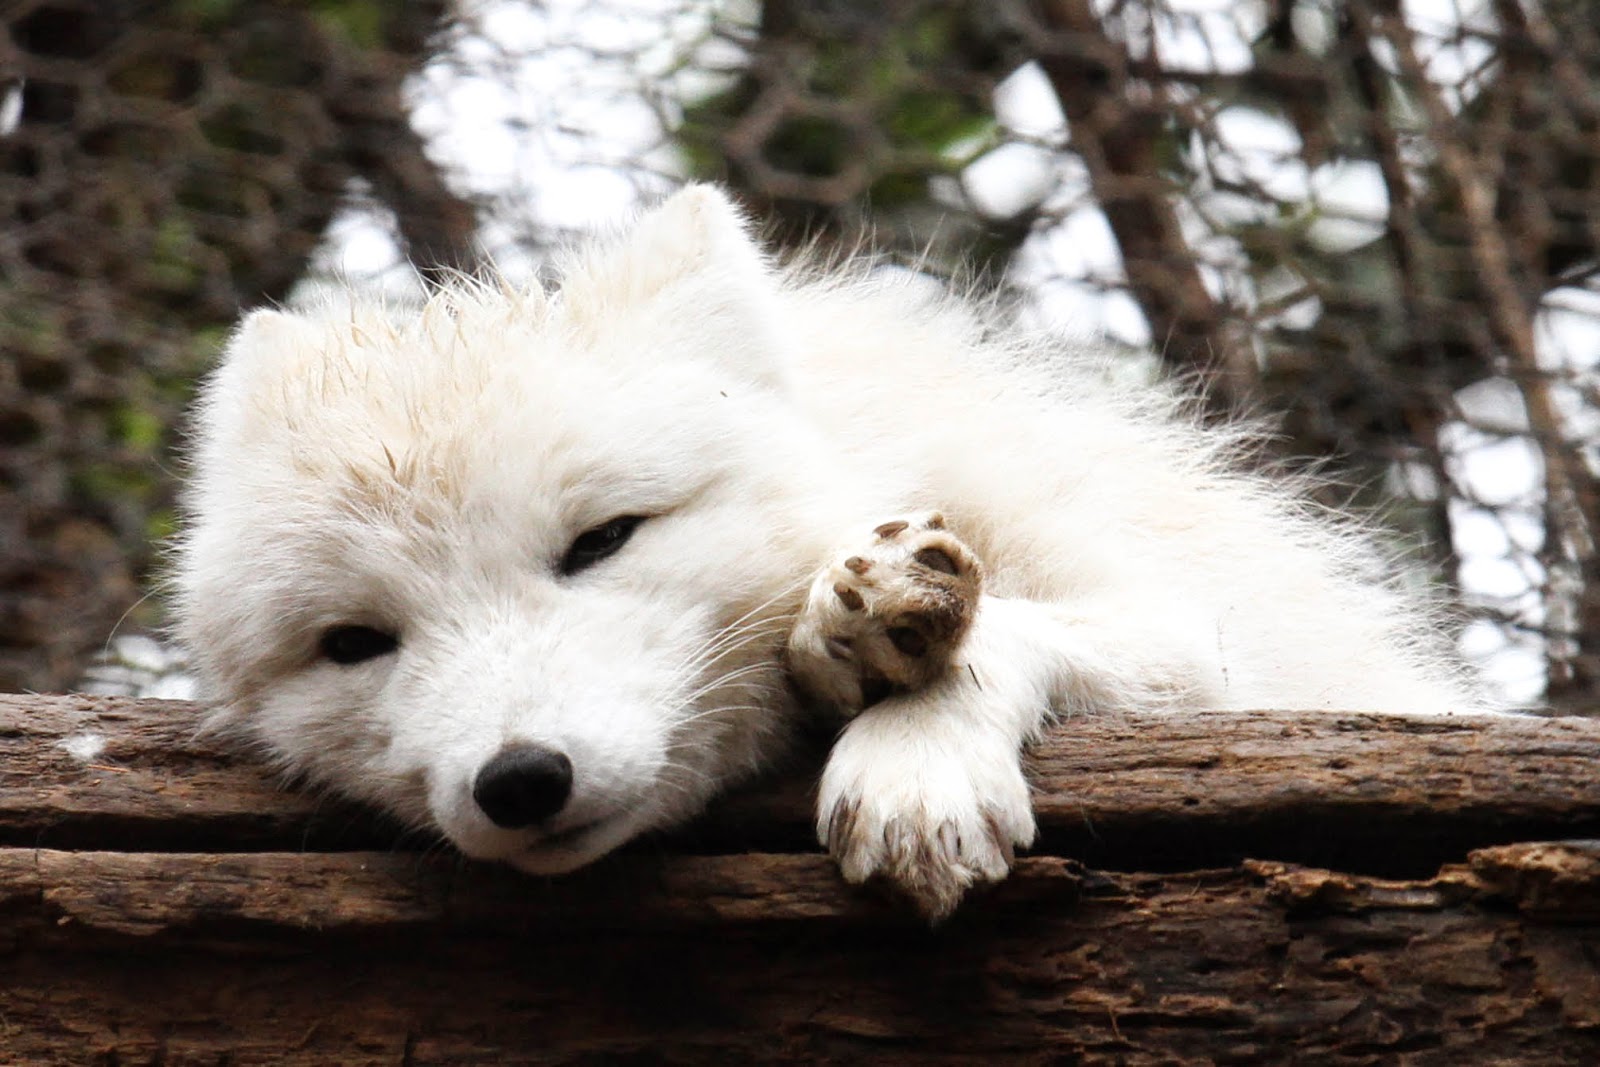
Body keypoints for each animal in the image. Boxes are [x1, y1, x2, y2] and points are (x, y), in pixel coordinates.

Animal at [173, 184, 1489, 920]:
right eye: (355, 643)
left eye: (601, 540)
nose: (520, 779)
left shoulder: (1213, 655)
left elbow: (1019, 622)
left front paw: (914, 743)